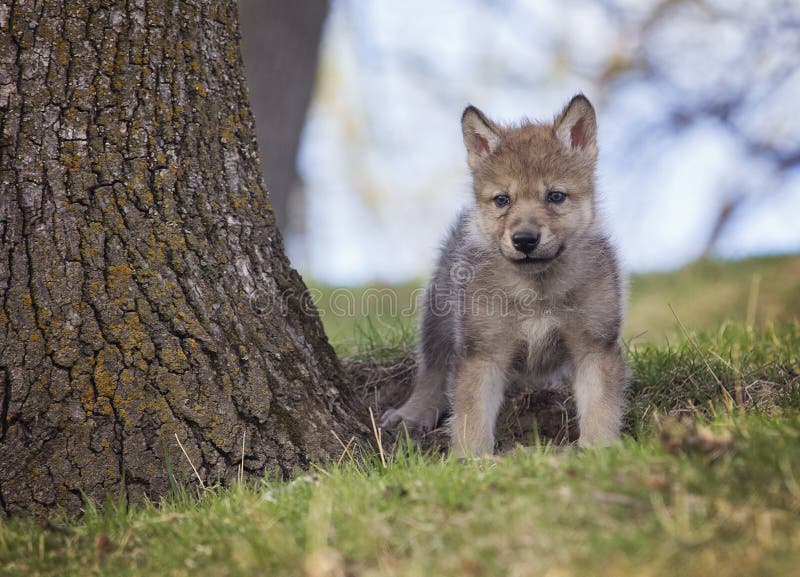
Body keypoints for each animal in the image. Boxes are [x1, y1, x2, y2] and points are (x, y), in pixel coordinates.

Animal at [380, 95, 627, 457]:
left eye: (555, 196)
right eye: (502, 200)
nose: (524, 239)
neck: (538, 290)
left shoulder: (594, 345)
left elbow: (600, 405)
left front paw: (599, 449)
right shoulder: (483, 352)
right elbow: (471, 412)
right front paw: (470, 459)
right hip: (439, 318)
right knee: (432, 371)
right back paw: (412, 414)